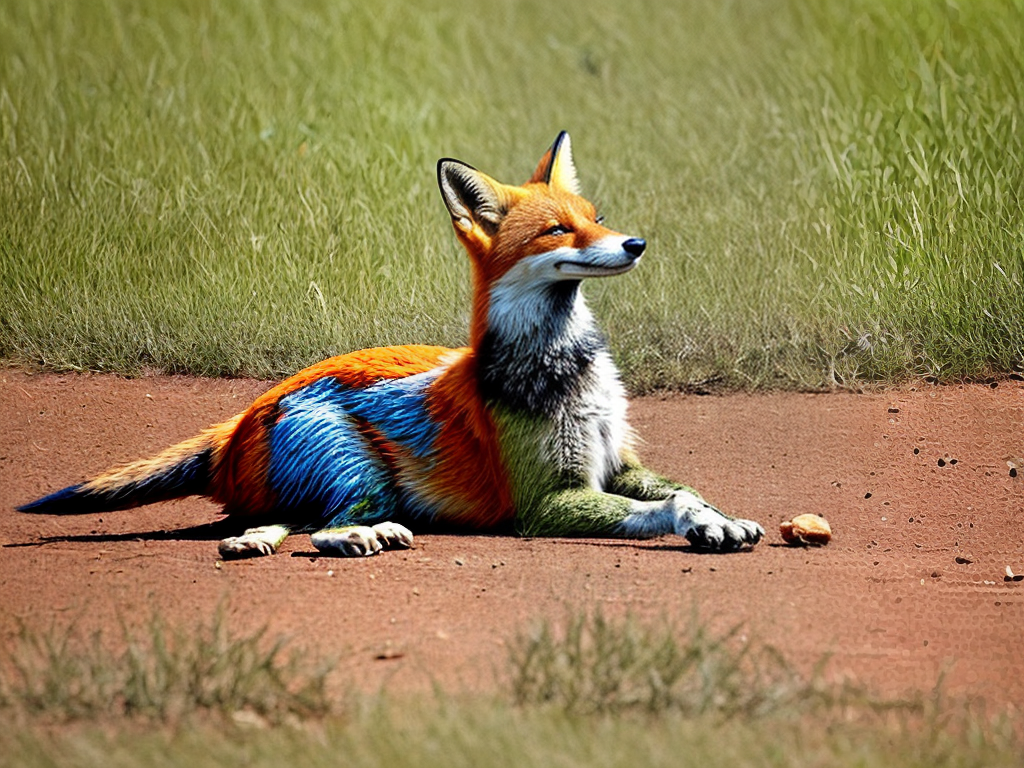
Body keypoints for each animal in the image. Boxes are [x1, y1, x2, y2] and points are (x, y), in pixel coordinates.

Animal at [18, 132, 764, 558]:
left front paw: (720, 519)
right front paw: (693, 524)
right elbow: (664, 507)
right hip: (359, 467)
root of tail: (239, 421)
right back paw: (352, 537)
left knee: (275, 521)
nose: (636, 244)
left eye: (596, 219)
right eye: (558, 230)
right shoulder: (545, 503)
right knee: (320, 528)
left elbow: (689, 490)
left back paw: (253, 541)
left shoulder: (617, 465)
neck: (568, 373)